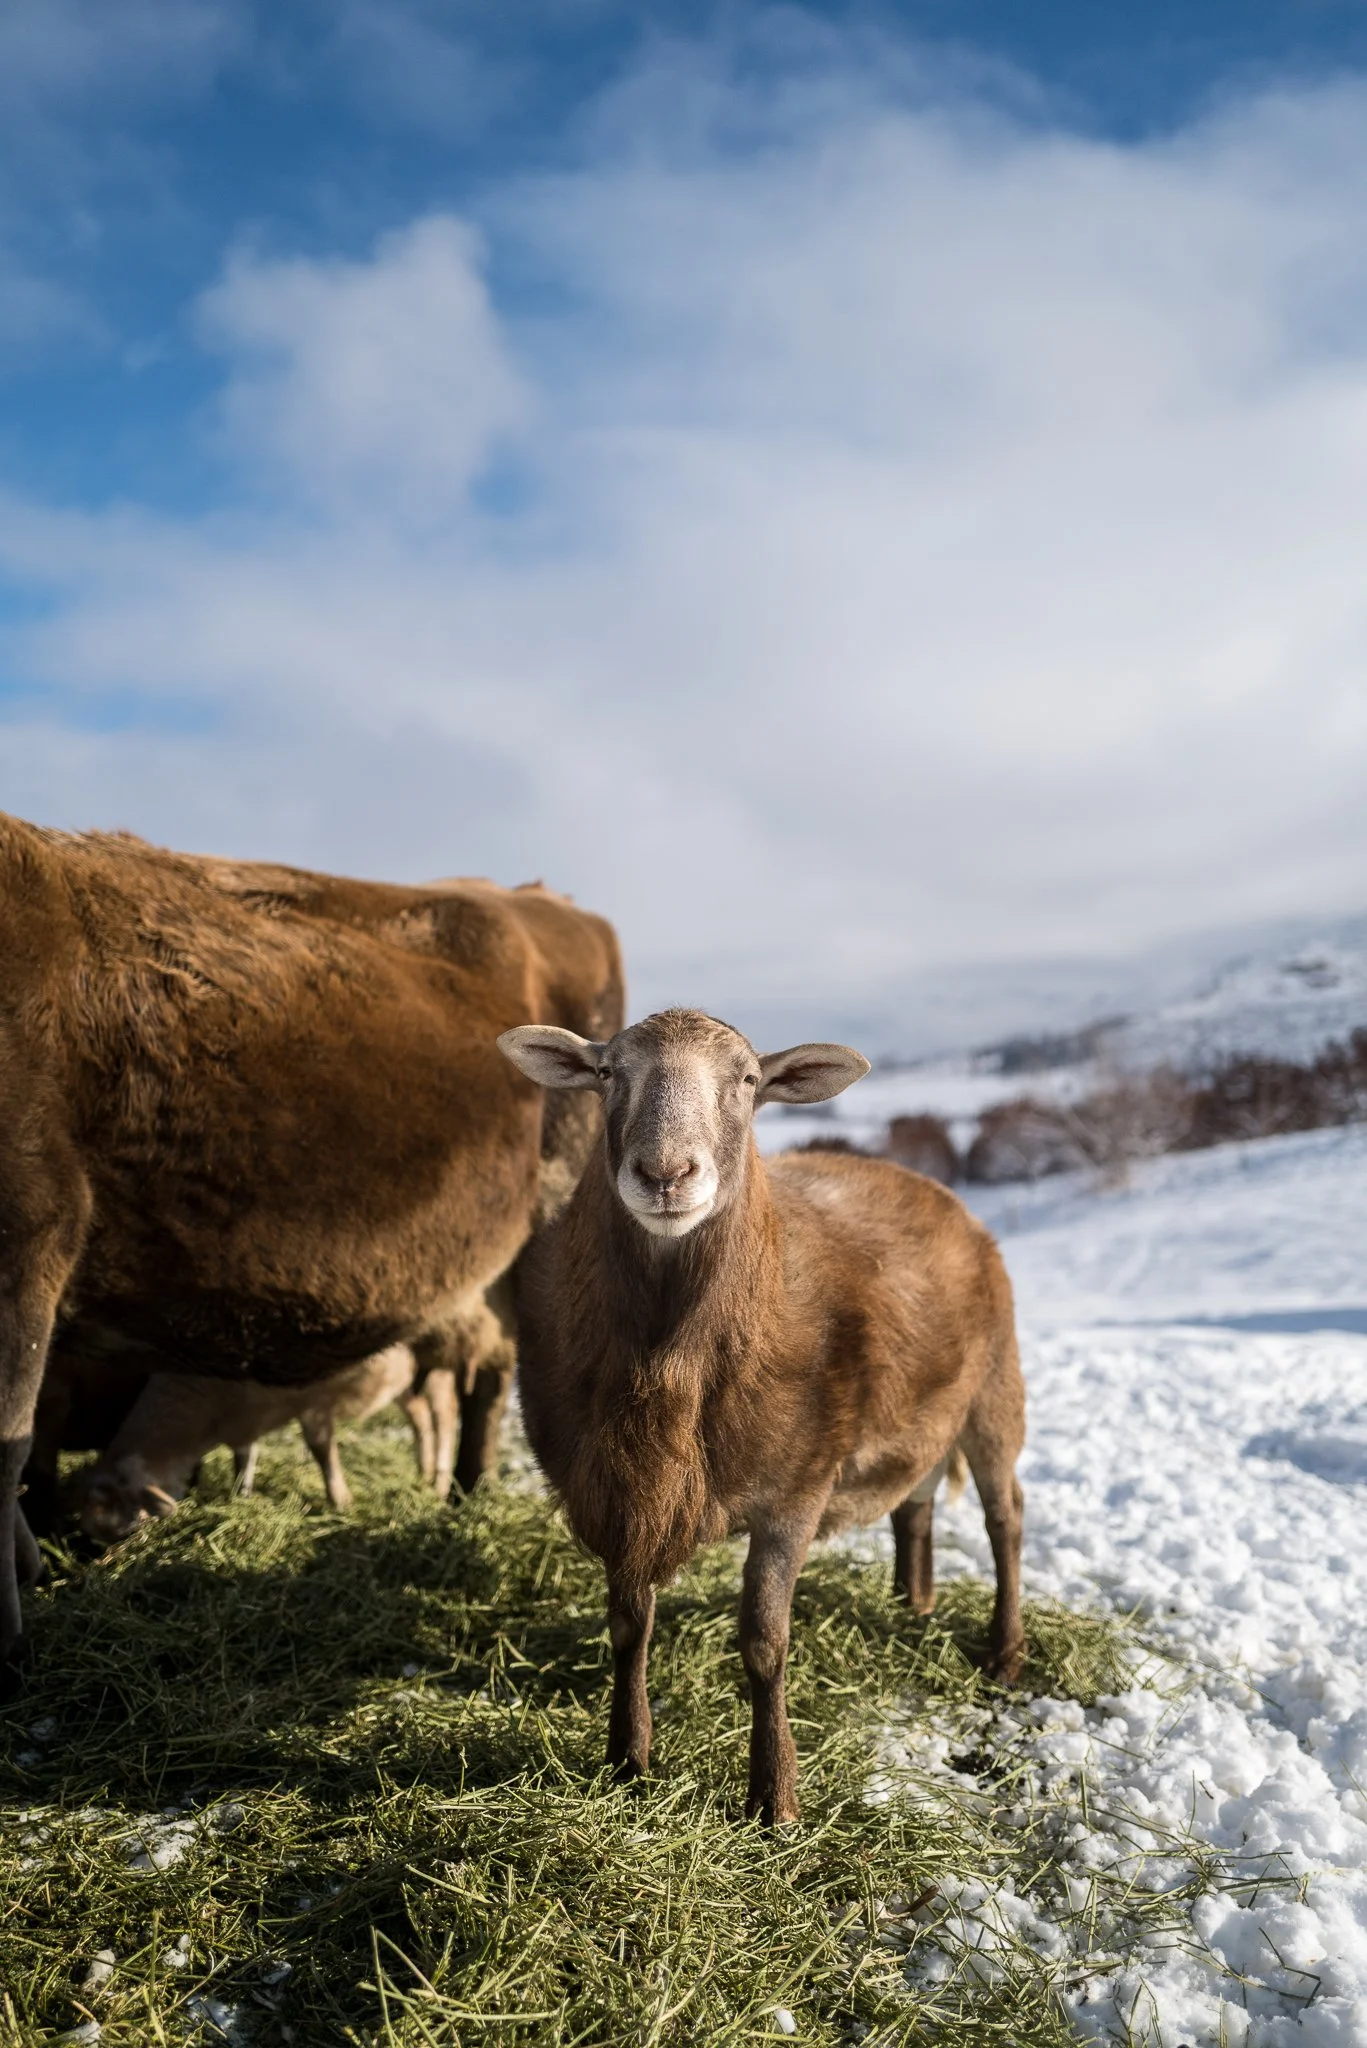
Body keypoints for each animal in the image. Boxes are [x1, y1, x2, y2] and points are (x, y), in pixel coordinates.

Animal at [498, 1007, 1027, 1825]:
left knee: (1006, 1516)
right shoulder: (621, 1489)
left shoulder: (794, 1492)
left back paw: (1004, 1655)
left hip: (994, 1387)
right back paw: (913, 1608)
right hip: (922, 1415)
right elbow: (628, 1625)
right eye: (609, 1072)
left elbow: (763, 1643)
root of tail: (930, 1188)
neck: (669, 1356)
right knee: (915, 1504)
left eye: (748, 1080)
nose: (665, 1174)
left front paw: (773, 1798)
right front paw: (627, 1762)